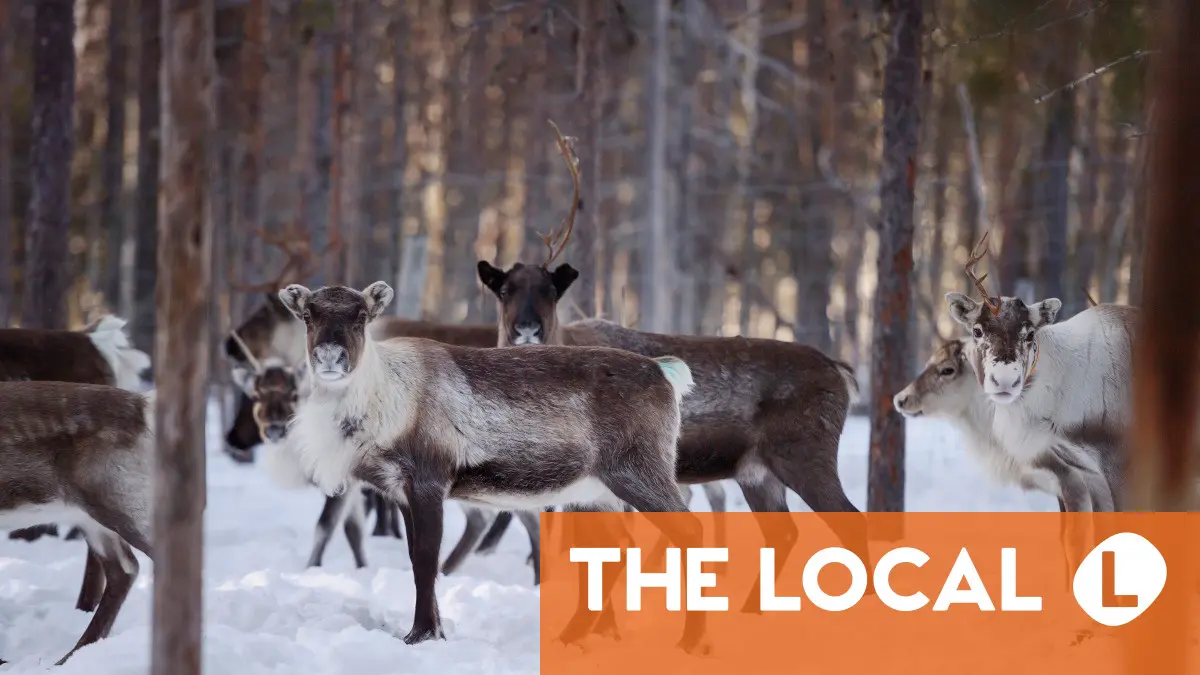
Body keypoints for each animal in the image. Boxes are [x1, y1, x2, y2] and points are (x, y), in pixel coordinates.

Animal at [277, 280, 710, 652]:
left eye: (361, 316)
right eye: (308, 315)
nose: (330, 357)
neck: (383, 400)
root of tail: (664, 373)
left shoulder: (429, 480)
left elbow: (426, 560)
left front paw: (419, 635)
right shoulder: (399, 493)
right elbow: (417, 558)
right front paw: (436, 631)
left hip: (640, 471)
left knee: (691, 534)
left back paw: (691, 642)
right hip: (595, 492)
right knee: (615, 551)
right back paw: (574, 636)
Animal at [476, 121, 870, 611]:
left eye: (550, 290)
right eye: (504, 290)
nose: (527, 327)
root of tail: (842, 372)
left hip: (804, 453)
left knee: (852, 521)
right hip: (757, 471)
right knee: (785, 534)